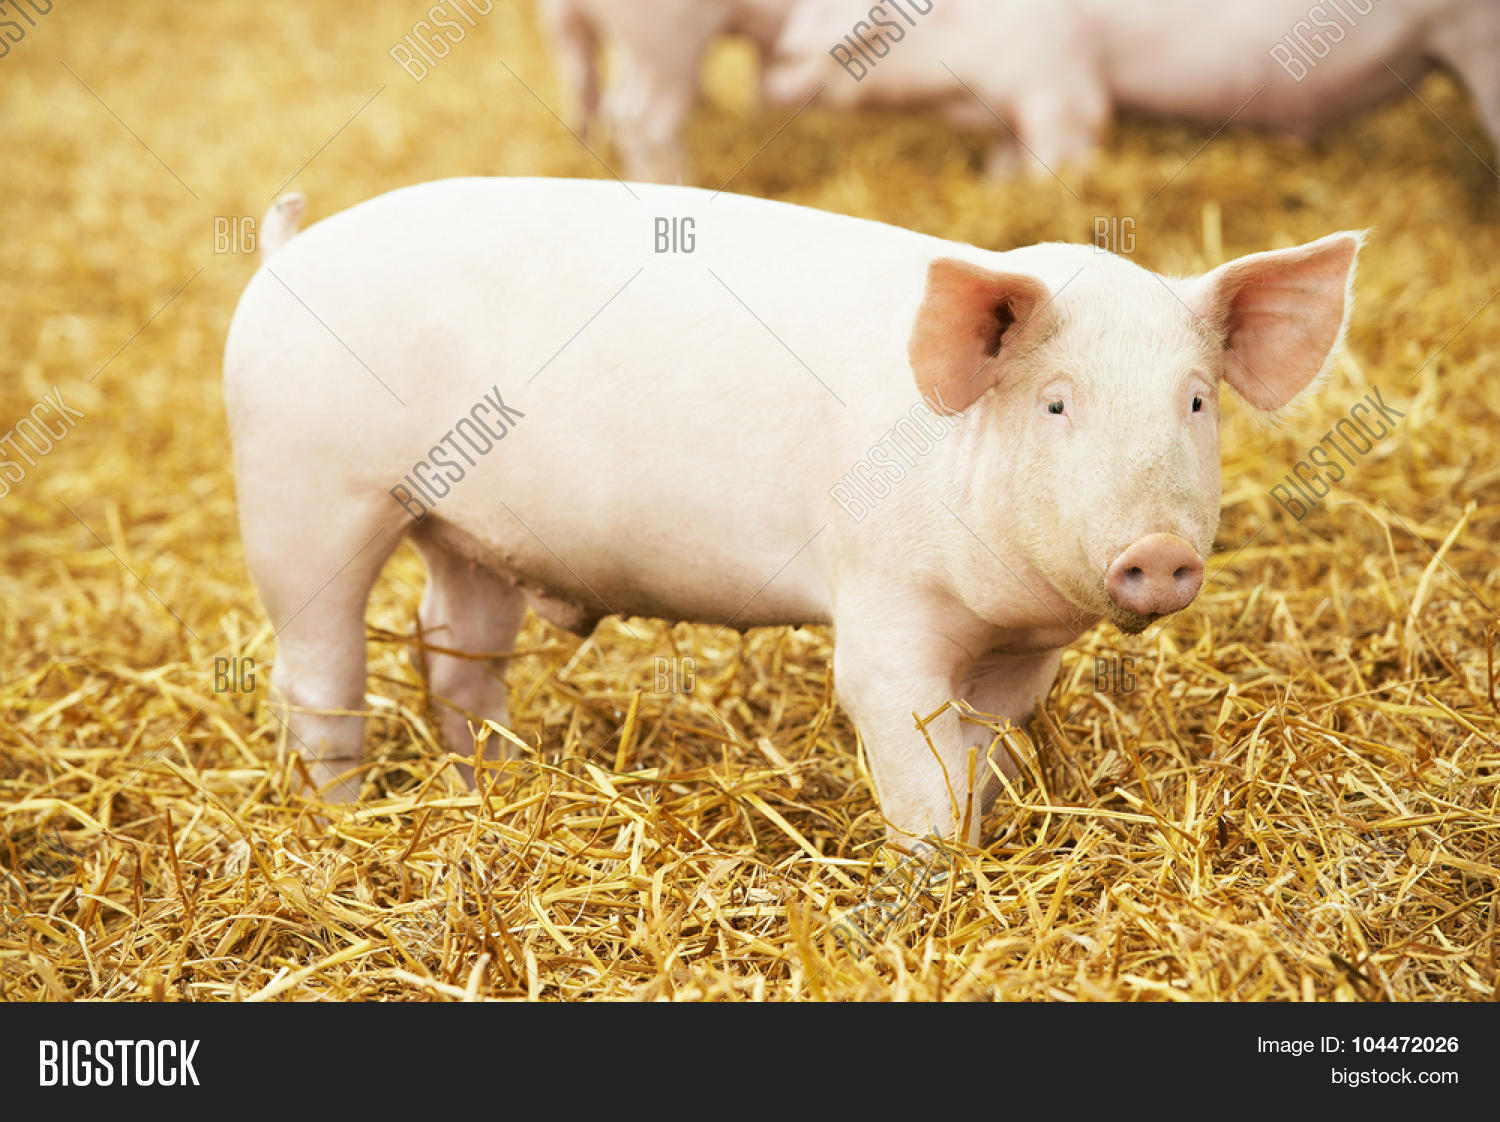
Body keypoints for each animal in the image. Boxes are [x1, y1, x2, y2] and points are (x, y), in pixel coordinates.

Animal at [225, 176, 1359, 843]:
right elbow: (914, 761)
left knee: (452, 647)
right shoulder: (883, 614)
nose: (1159, 552)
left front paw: (985, 846)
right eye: (1055, 402)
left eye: (1196, 401)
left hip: (467, 534)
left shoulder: (1018, 657)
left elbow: (982, 763)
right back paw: (344, 817)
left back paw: (497, 785)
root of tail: (282, 254)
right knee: (317, 673)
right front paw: (928, 891)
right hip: (303, 495)